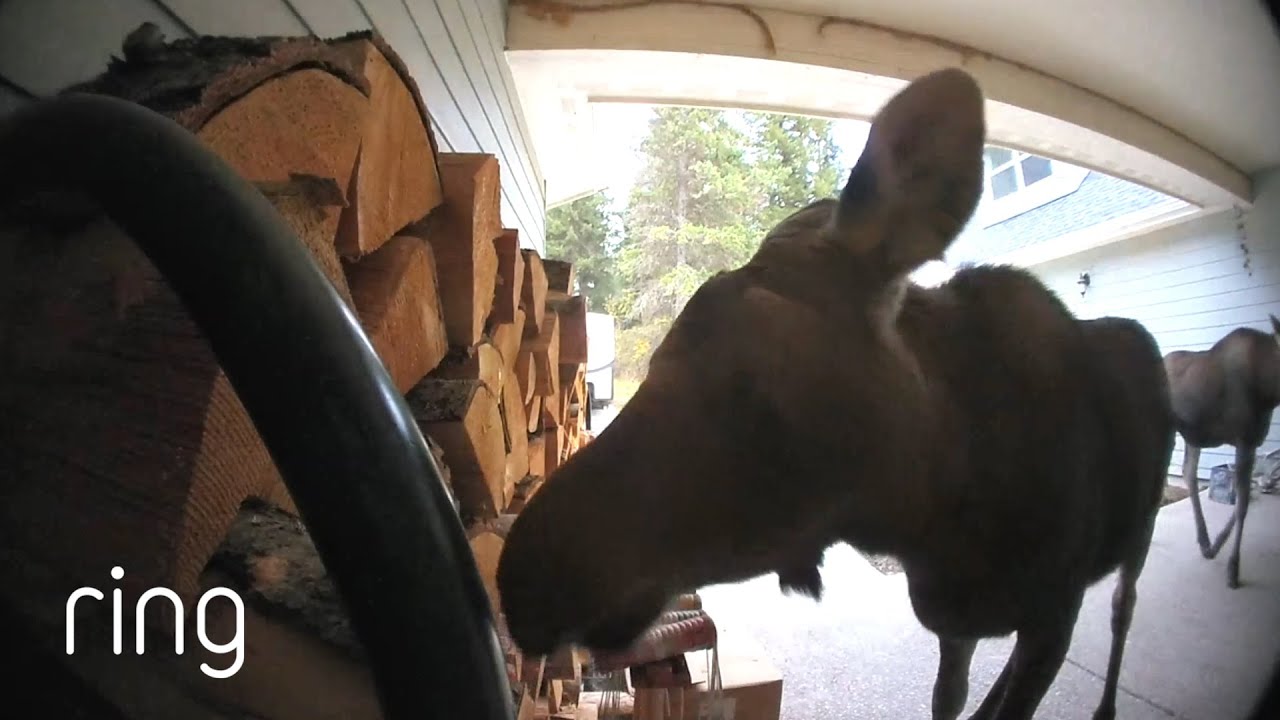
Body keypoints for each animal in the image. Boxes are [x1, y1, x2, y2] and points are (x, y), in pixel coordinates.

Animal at [497, 68, 1175, 720]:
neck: (943, 516)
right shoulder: (960, 629)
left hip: (1136, 541)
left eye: (755, 371)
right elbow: (951, 700)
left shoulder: (1053, 617)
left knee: (1125, 607)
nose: (522, 578)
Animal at [1164, 316, 1280, 589]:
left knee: (1189, 472)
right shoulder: (1244, 439)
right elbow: (1243, 504)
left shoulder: (1252, 442)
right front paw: (1233, 568)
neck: (1271, 389)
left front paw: (1217, 545)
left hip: (1193, 433)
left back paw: (1205, 541)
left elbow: (1243, 500)